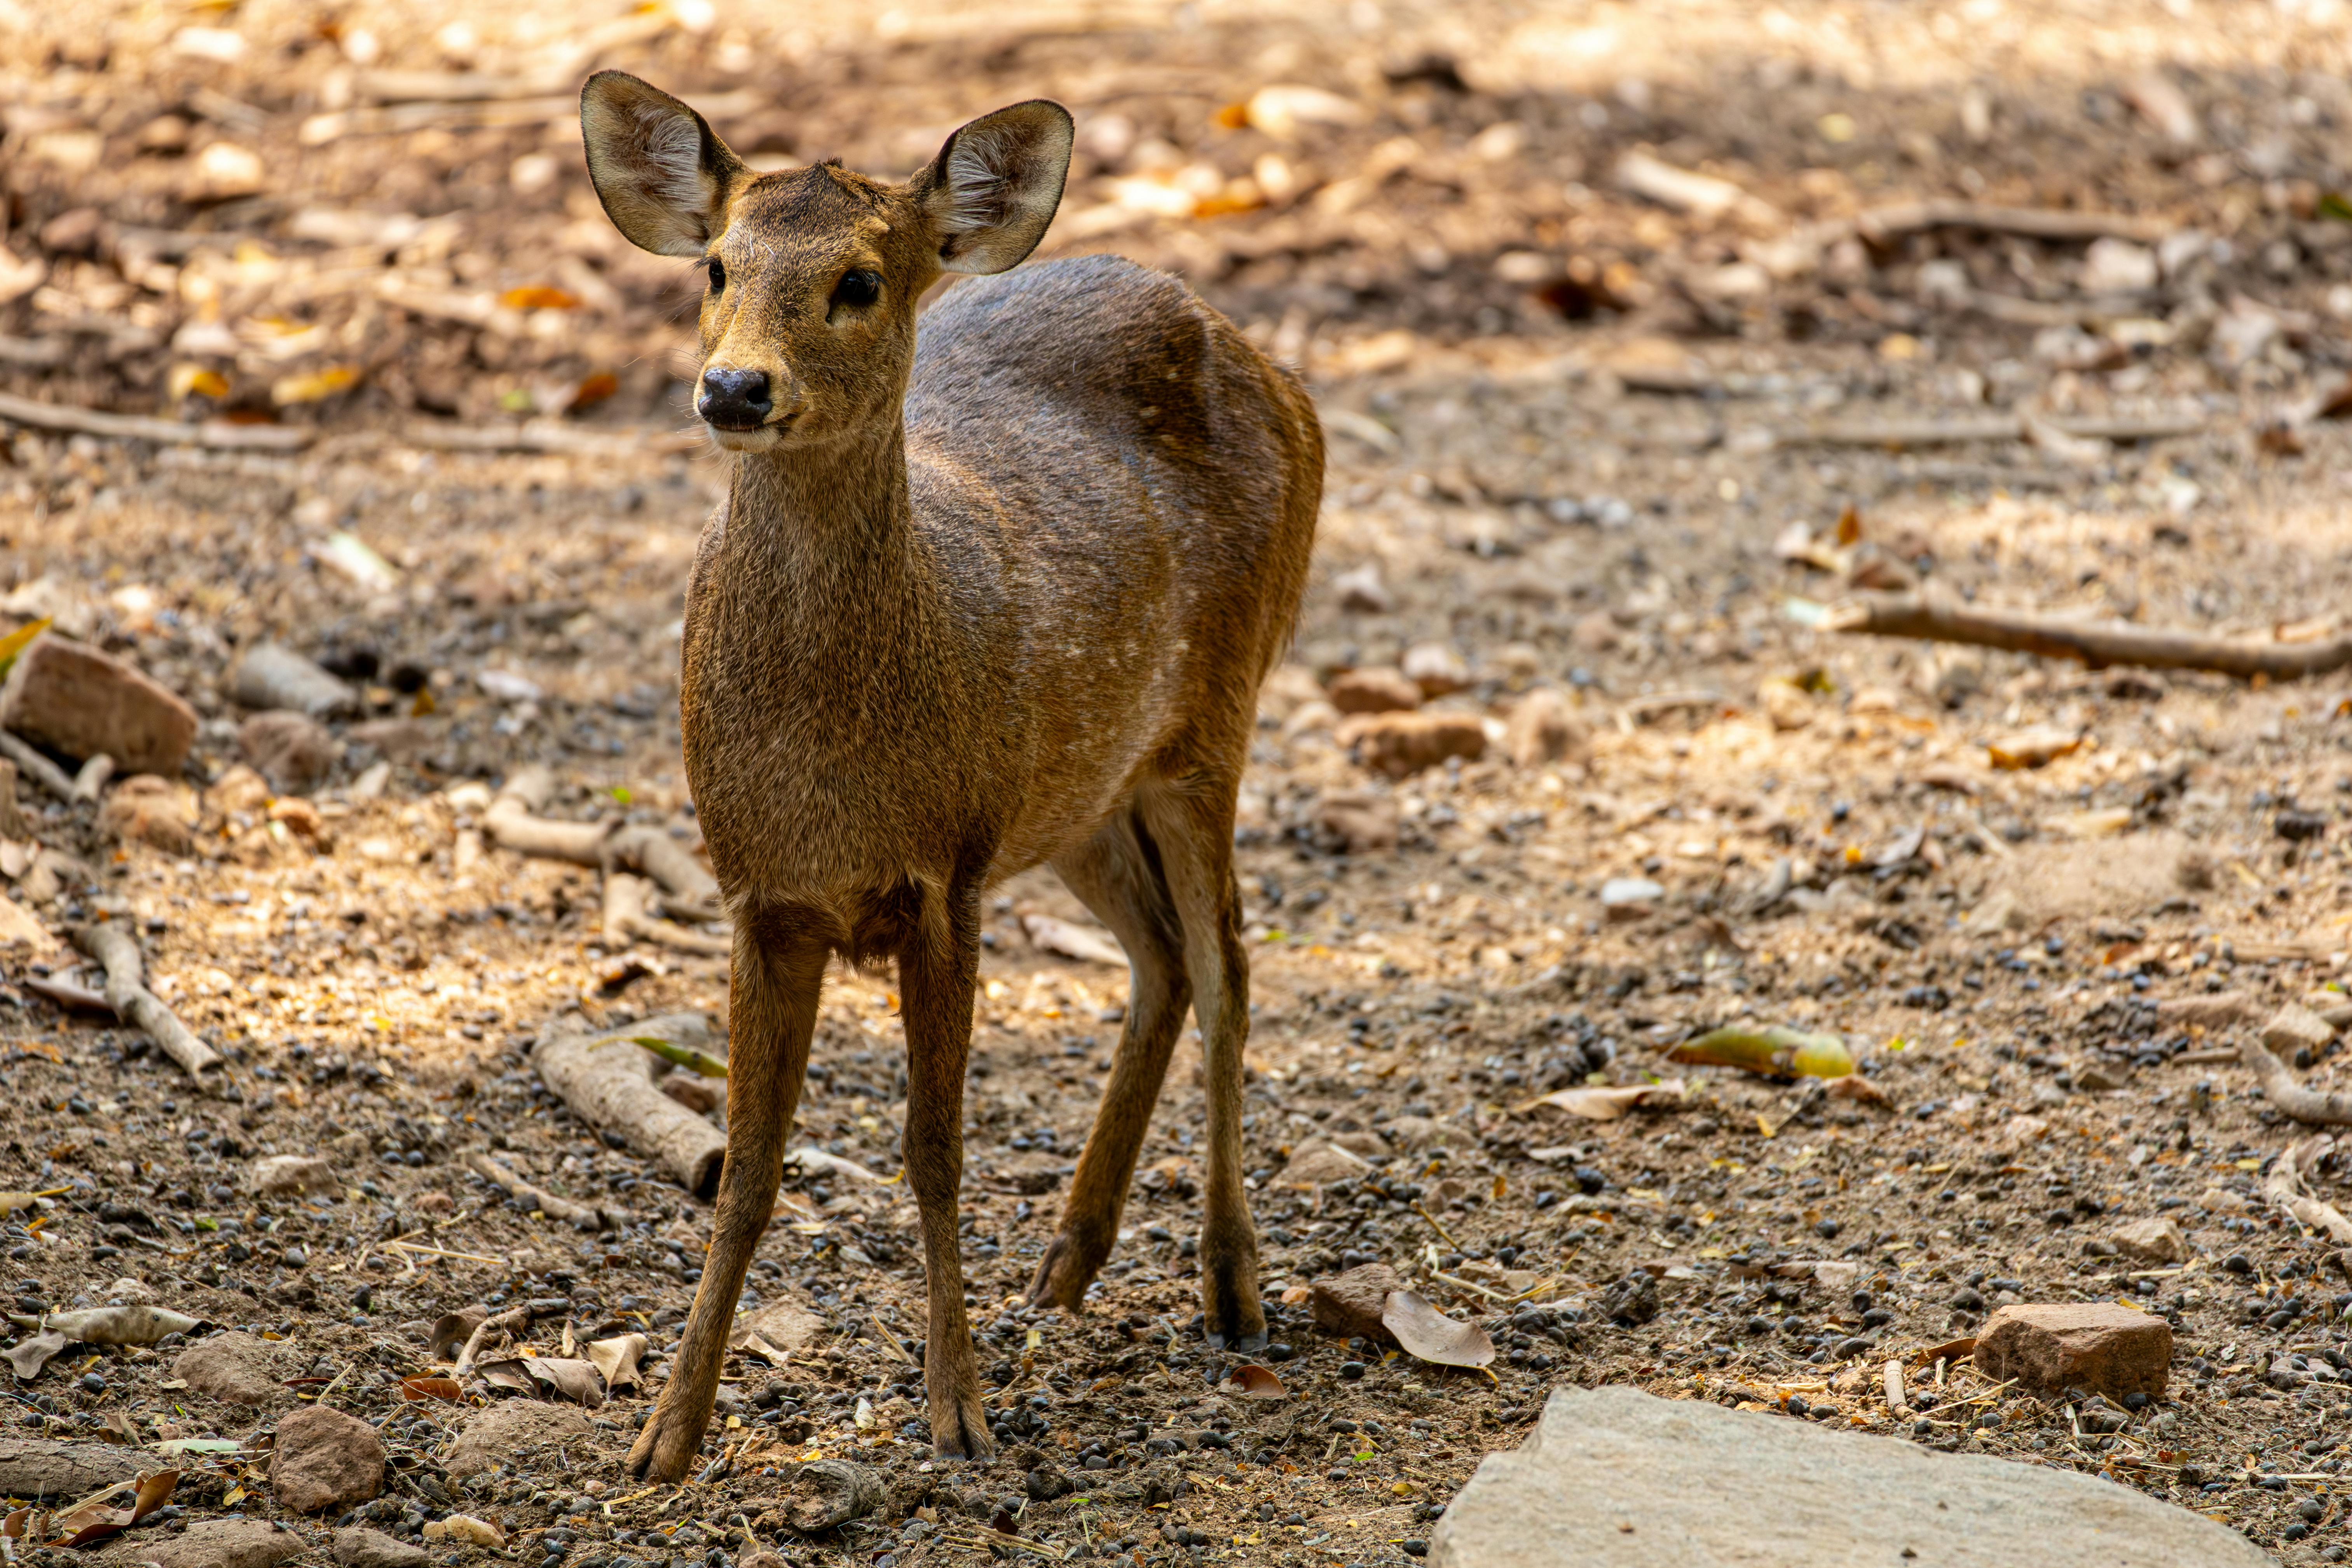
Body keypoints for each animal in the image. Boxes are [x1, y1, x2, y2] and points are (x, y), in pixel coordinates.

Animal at [578, 72, 1324, 1478]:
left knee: (1230, 965)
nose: (733, 387)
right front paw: (666, 1434)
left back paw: (1232, 1283)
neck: (830, 776)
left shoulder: (945, 875)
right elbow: (746, 1165)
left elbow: (932, 1152)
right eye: (715, 265)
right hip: (1077, 785)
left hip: (1216, 717)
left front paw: (959, 1410)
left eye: (861, 280)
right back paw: (1068, 1263)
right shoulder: (758, 890)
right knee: (1162, 960)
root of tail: (1278, 370)